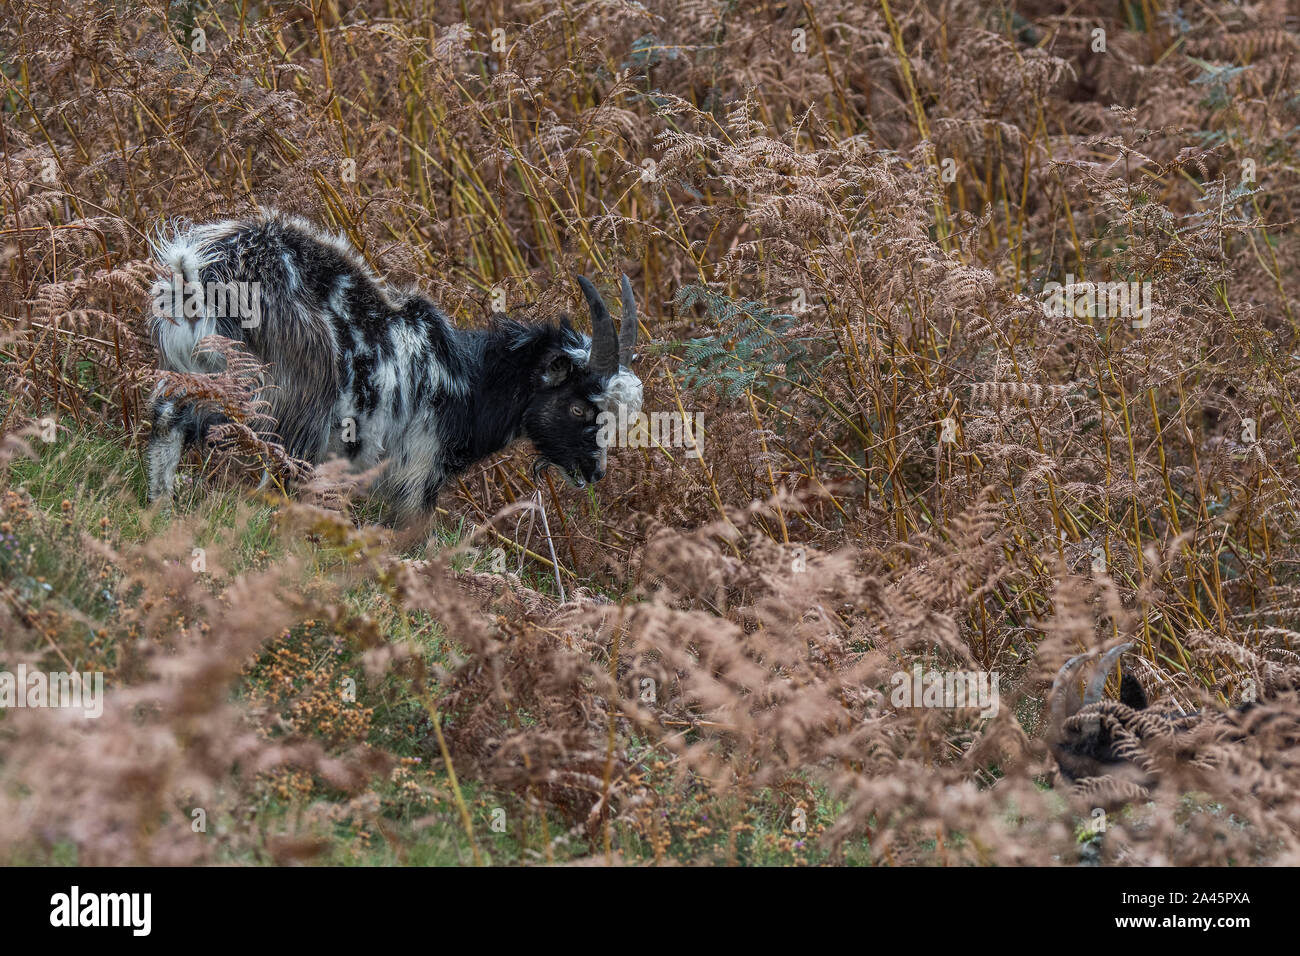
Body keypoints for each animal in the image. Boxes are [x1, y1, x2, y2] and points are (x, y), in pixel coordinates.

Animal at [144, 211, 643, 524]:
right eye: (578, 407)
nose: (594, 472)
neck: (467, 379)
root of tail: (199, 271)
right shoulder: (416, 471)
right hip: (291, 399)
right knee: (279, 466)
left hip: (193, 371)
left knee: (167, 420)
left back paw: (160, 506)